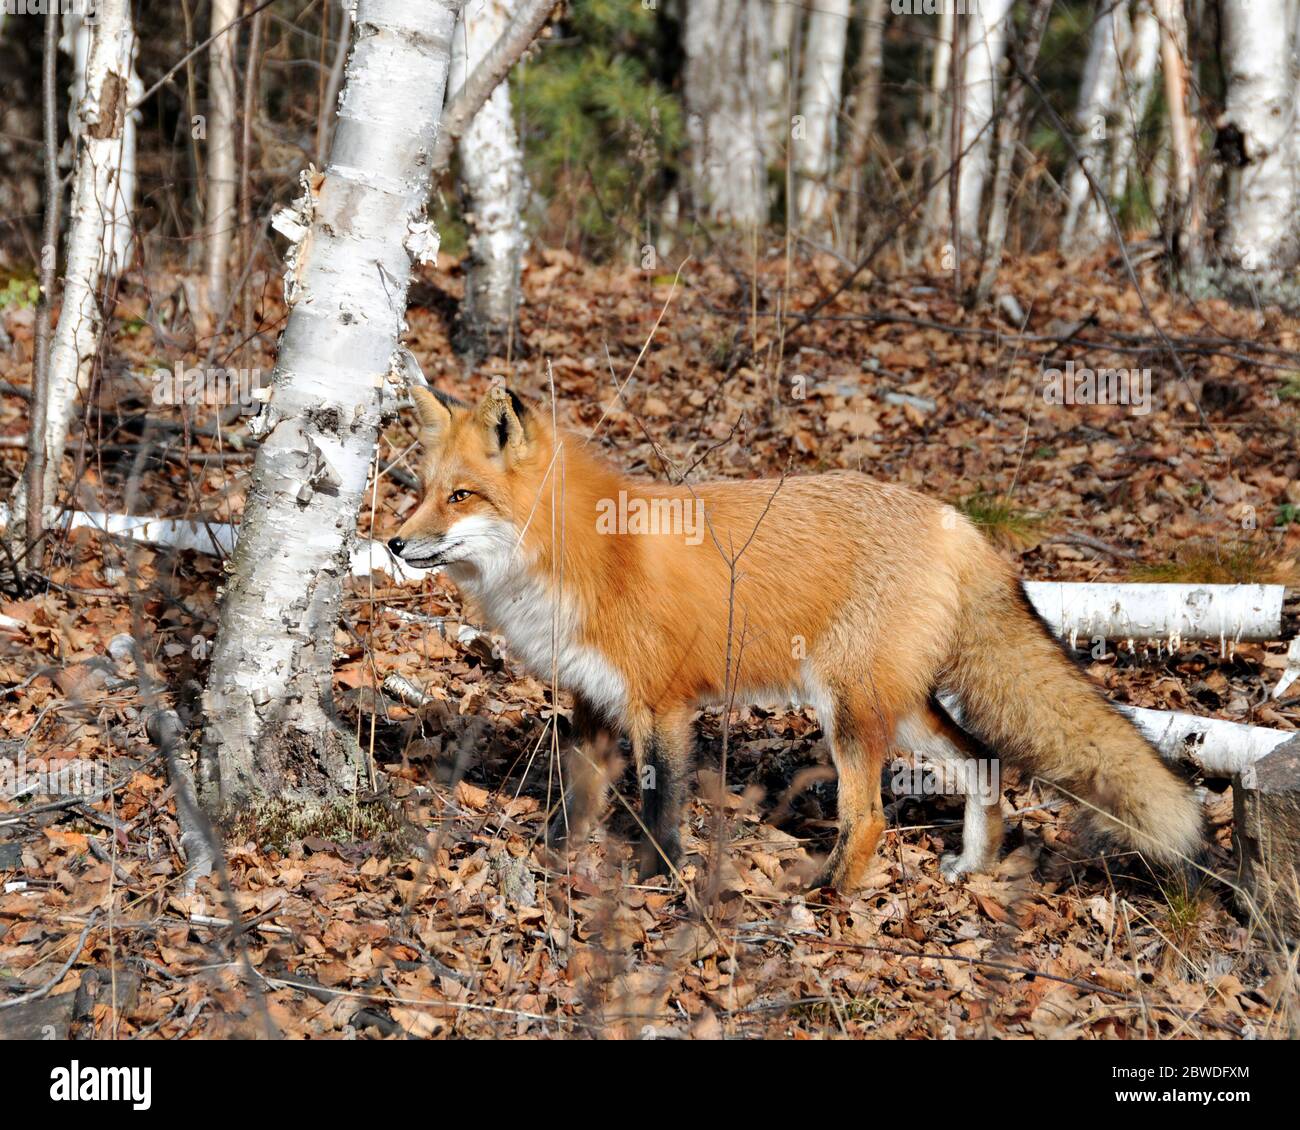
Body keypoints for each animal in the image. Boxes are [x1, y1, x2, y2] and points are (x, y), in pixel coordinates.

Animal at [388, 383, 1204, 892]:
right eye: (420, 491)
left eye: (461, 496)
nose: (392, 542)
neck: (587, 552)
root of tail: (955, 521)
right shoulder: (593, 699)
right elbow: (573, 795)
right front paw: (556, 856)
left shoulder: (662, 704)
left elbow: (660, 805)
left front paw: (656, 878)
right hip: (898, 707)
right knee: (985, 760)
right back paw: (971, 866)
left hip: (847, 709)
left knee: (868, 818)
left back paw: (827, 895)